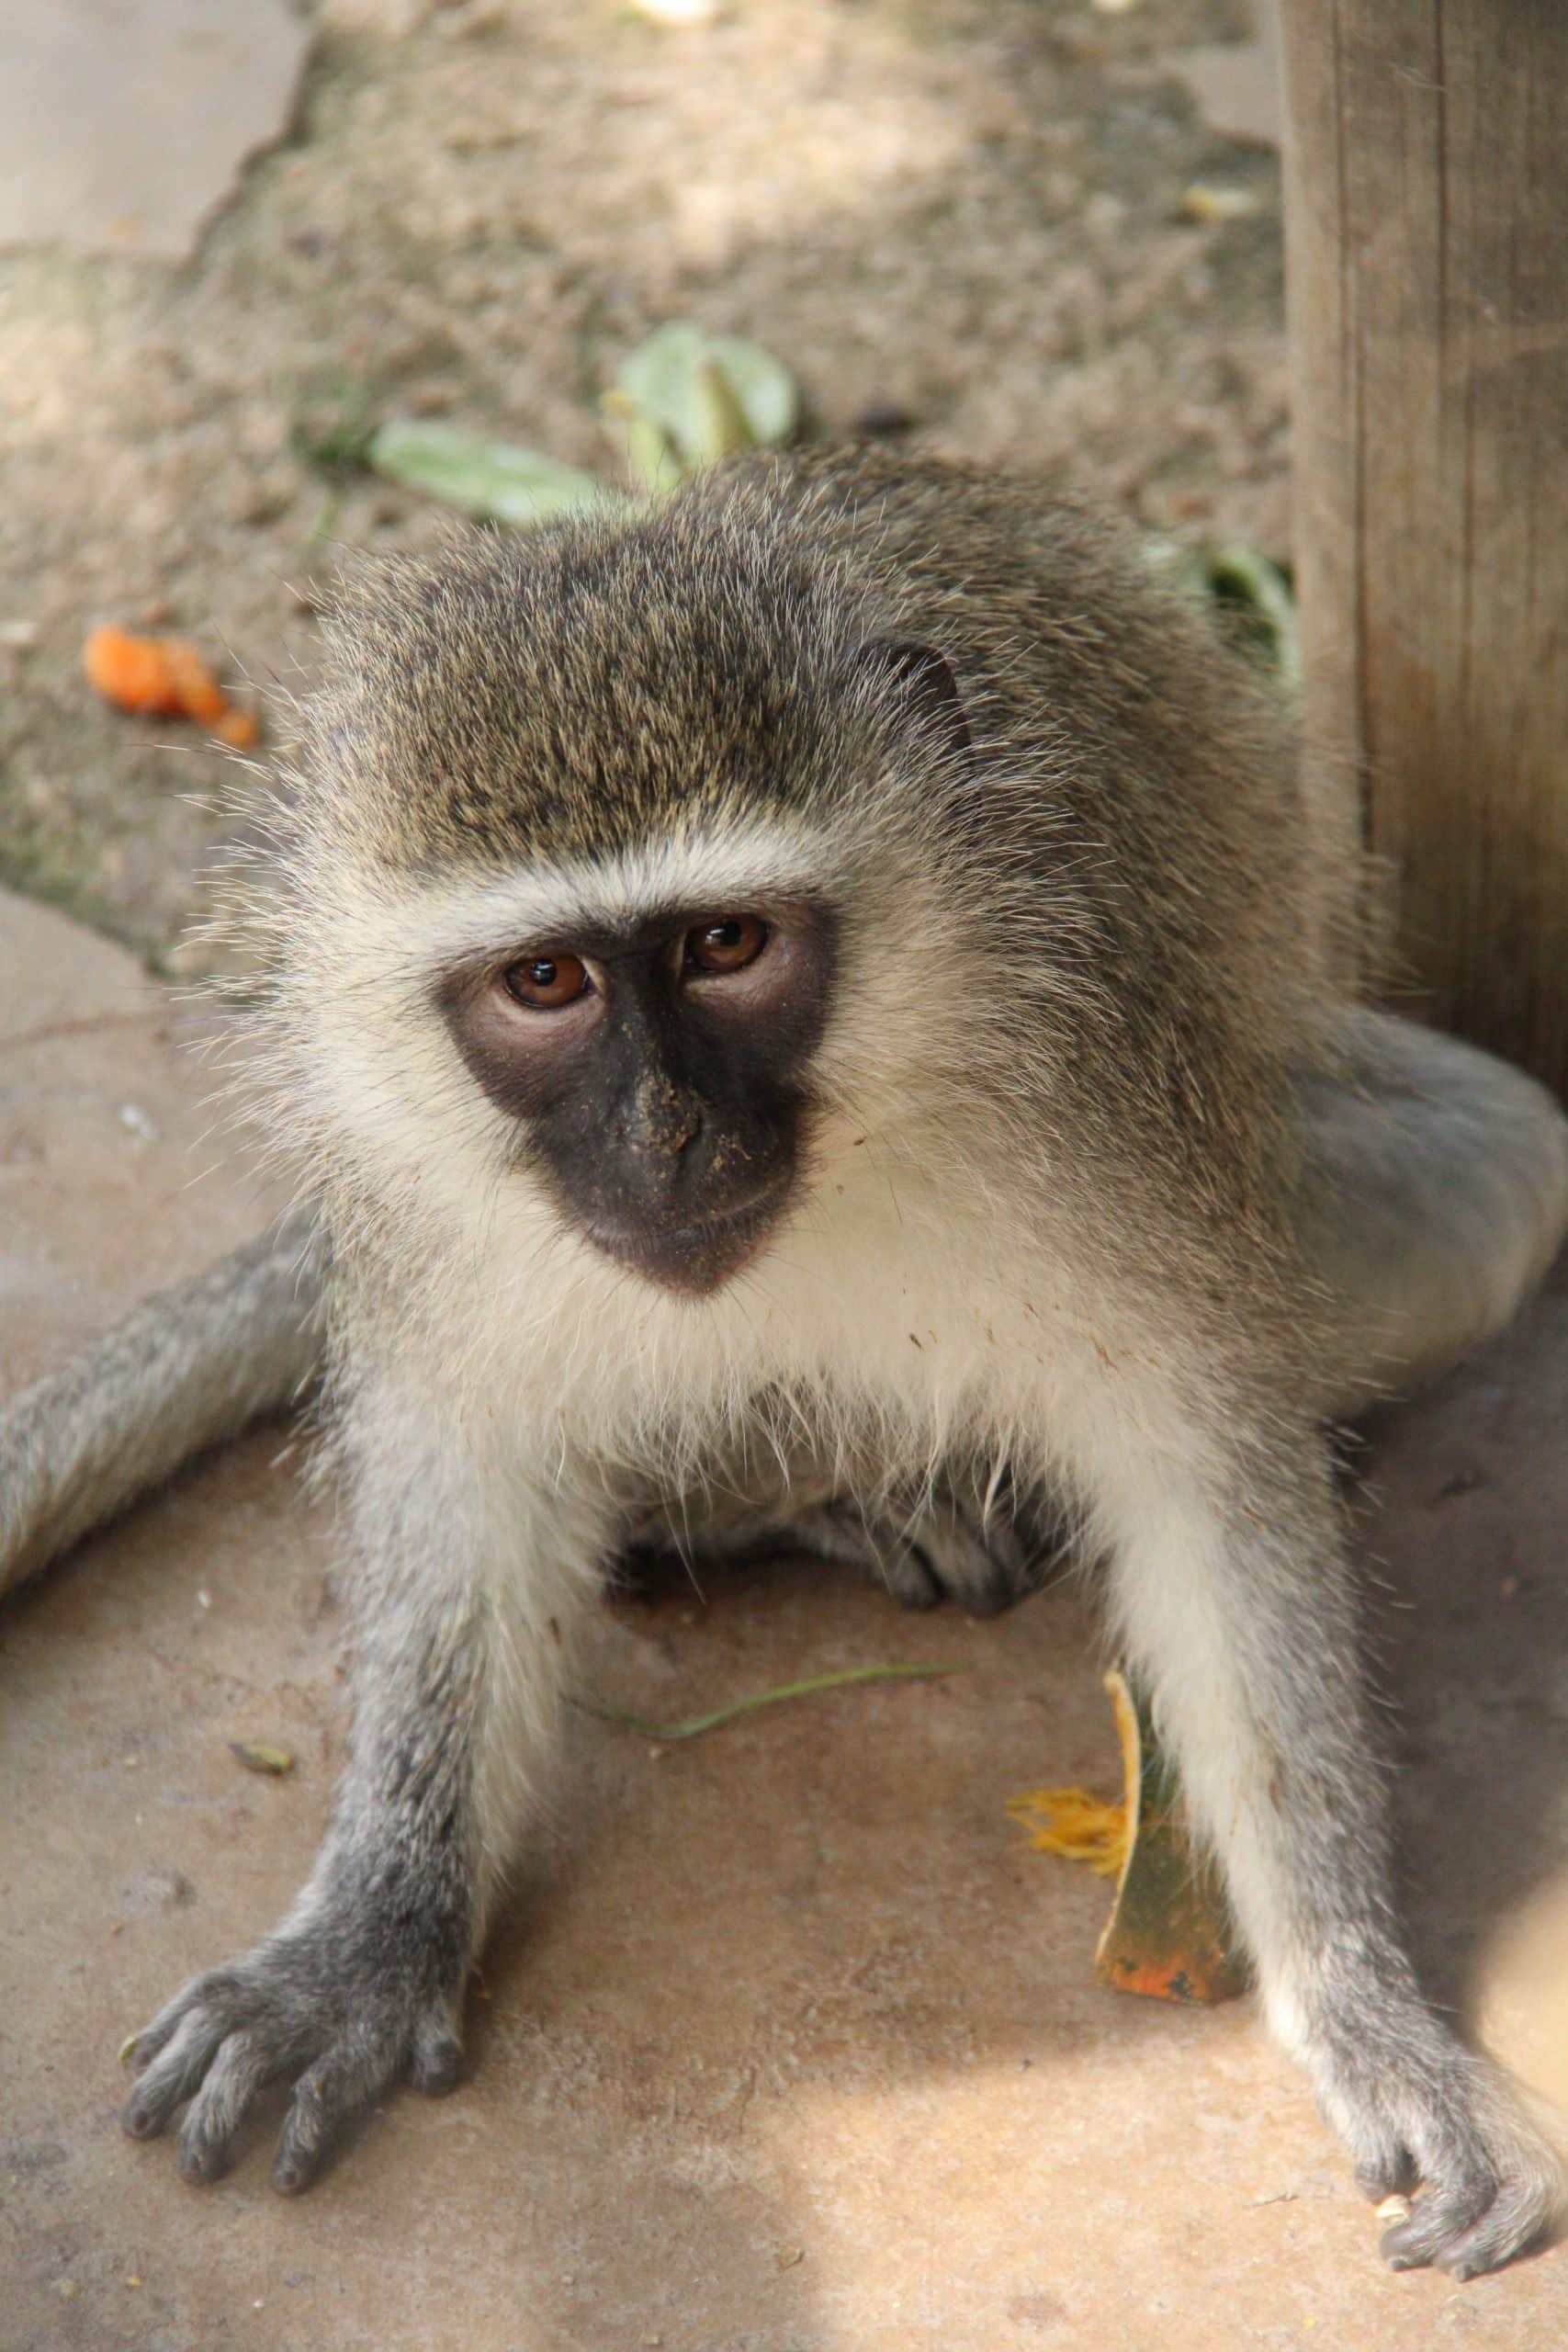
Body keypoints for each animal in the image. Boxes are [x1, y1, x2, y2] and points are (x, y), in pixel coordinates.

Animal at [3, 446, 1566, 2276]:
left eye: (726, 947)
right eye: (544, 981)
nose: (665, 1136)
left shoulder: (1125, 1124)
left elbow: (1206, 1489)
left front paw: (1357, 1996)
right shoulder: (415, 1219)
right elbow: (461, 1488)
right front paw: (376, 1926)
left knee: (1499, 1175)